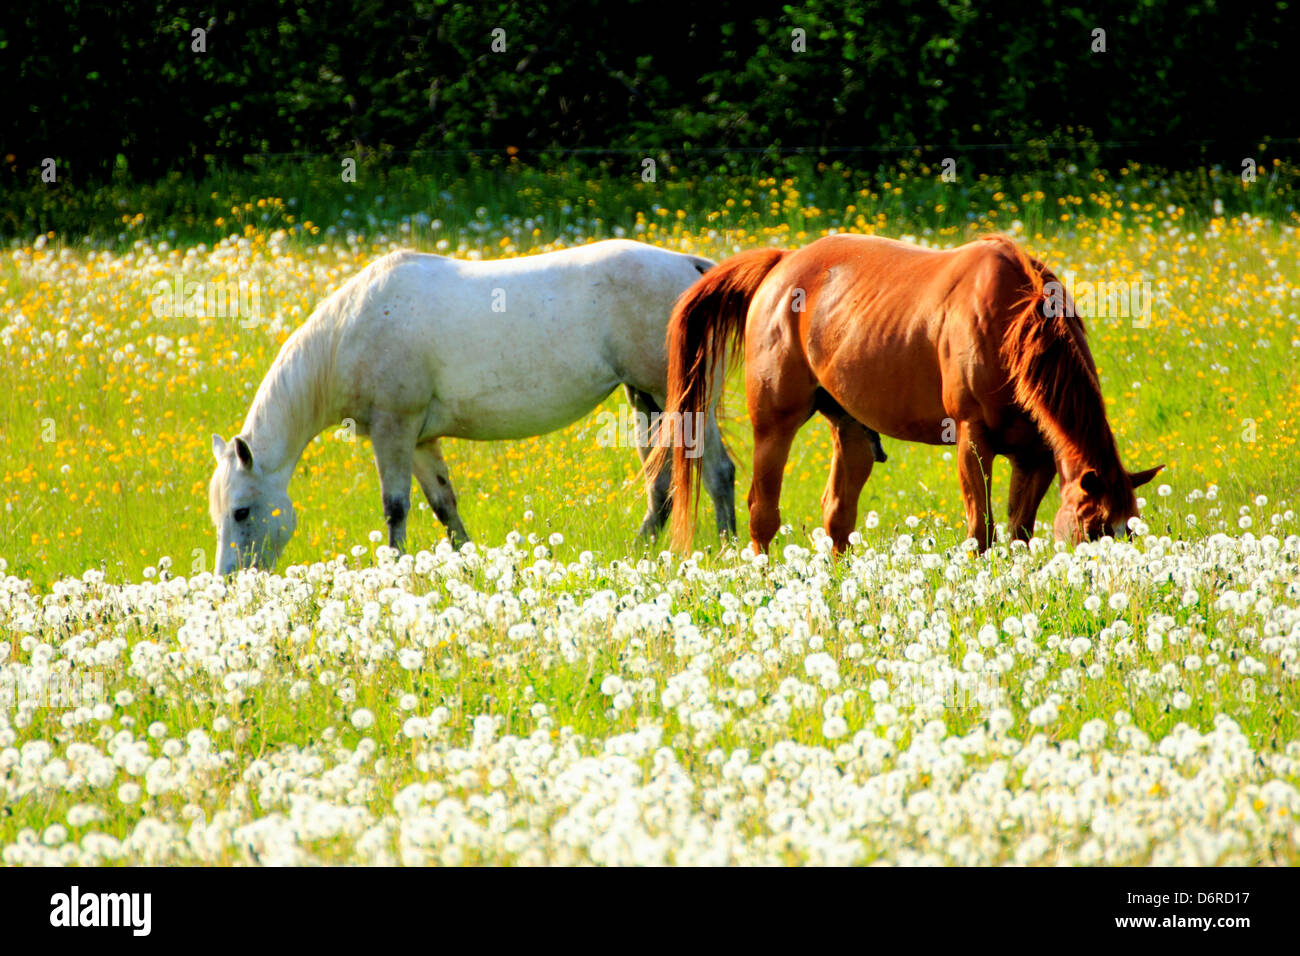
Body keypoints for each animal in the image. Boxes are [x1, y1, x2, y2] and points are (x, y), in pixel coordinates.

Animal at [209, 239, 737, 574]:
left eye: (241, 512)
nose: (229, 580)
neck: (350, 330)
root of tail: (689, 266)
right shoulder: (421, 441)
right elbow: (444, 506)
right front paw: (468, 563)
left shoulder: (393, 429)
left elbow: (395, 508)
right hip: (647, 401)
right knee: (662, 486)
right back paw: (637, 552)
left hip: (683, 402)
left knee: (719, 472)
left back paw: (730, 553)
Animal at [657, 233, 1162, 555]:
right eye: (1093, 530)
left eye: (1129, 532)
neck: (1010, 321)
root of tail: (781, 264)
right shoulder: (972, 438)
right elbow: (981, 530)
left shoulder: (1035, 456)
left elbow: (1018, 531)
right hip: (774, 424)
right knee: (762, 514)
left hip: (852, 430)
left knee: (838, 517)